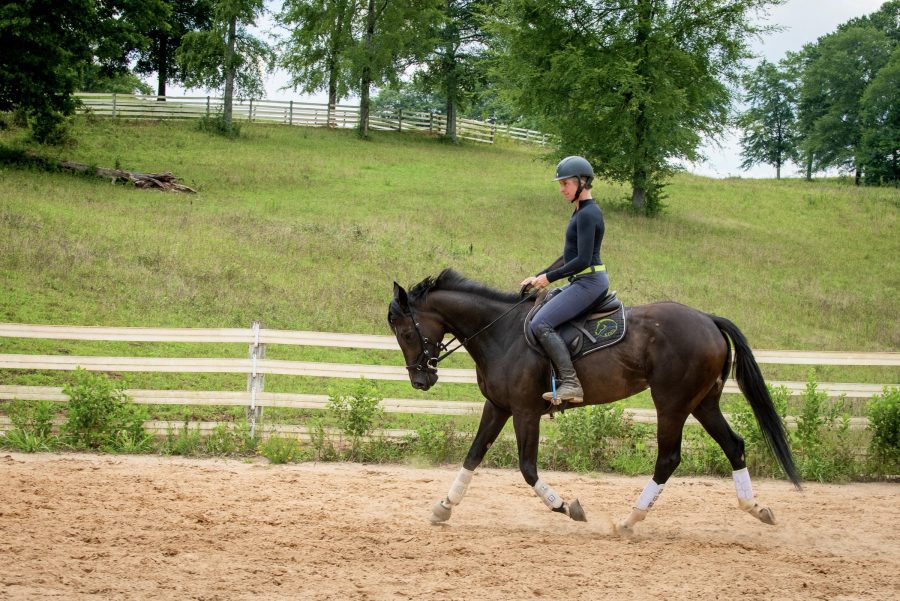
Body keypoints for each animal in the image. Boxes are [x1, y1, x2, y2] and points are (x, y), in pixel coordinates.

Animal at [387, 269, 801, 535]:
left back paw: (628, 521)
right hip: (703, 402)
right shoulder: (499, 406)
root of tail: (708, 319)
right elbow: (472, 456)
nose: (420, 380)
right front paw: (443, 507)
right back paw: (756, 509)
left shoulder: (524, 411)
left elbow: (527, 468)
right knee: (734, 445)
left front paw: (566, 507)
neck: (501, 334)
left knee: (668, 459)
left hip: (671, 403)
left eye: (406, 331)